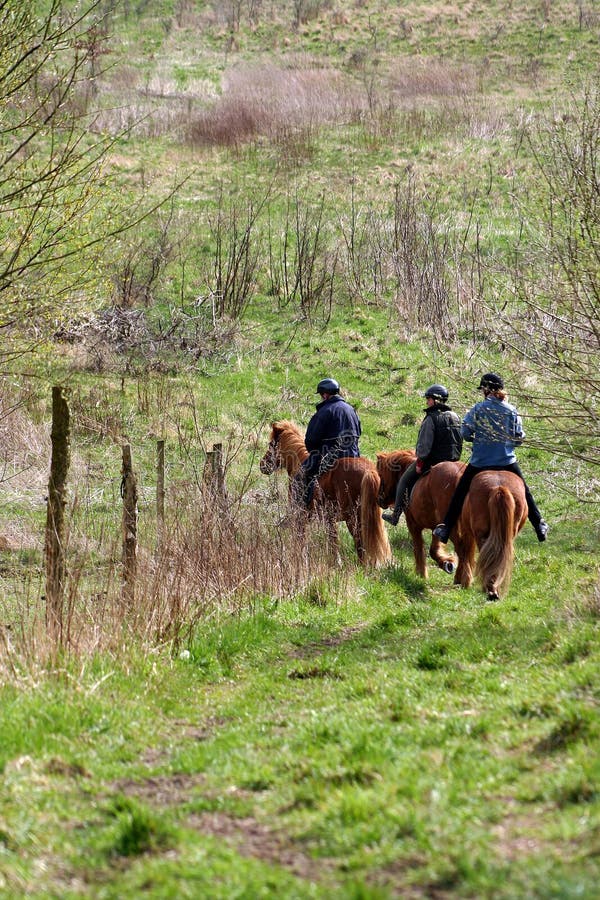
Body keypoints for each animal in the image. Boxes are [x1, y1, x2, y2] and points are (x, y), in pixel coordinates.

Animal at [259, 421, 391, 567]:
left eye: (271, 444)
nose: (262, 464)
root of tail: (369, 471)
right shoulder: (328, 519)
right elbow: (332, 540)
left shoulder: (301, 516)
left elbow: (303, 539)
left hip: (353, 518)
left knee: (360, 542)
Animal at [375, 450, 476, 587]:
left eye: (380, 474)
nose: (379, 500)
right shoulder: (436, 527)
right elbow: (433, 549)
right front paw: (446, 563)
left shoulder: (413, 524)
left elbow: (418, 548)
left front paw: (421, 574)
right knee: (465, 548)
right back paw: (459, 578)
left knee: (462, 548)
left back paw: (465, 580)